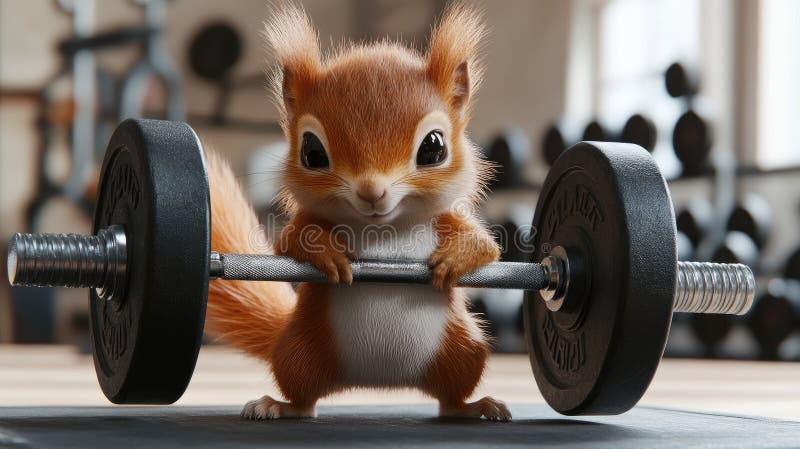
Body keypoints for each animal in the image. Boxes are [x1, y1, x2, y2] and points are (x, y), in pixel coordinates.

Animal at [203, 3, 510, 421]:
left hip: (462, 350)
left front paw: (454, 260)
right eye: (312, 152)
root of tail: (378, 381)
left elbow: (486, 246)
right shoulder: (303, 225)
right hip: (300, 352)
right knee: (304, 400)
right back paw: (276, 405)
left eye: (434, 147)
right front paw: (328, 254)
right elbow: (289, 242)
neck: (382, 229)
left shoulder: (448, 218)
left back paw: (475, 406)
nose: (372, 192)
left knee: (449, 399)